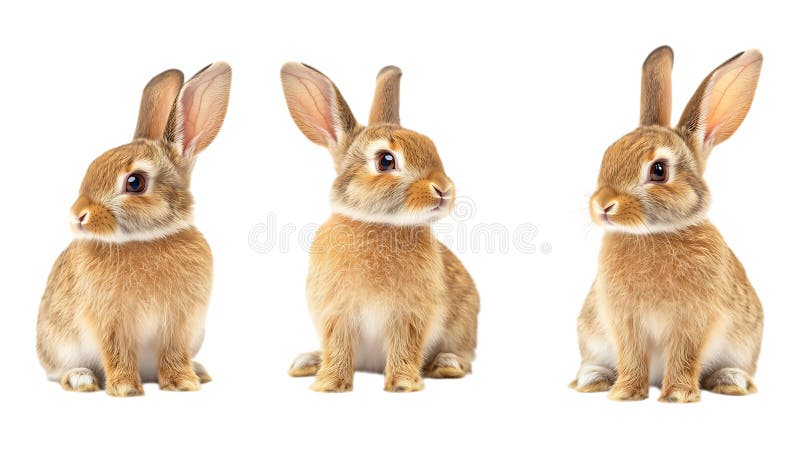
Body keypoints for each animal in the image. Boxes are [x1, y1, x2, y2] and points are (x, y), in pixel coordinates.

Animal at [36, 62, 232, 396]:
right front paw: (126, 388)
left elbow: (173, 352)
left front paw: (182, 383)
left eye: (135, 182)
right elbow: (118, 353)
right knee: (60, 371)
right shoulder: (112, 322)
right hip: (59, 343)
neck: (146, 239)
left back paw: (199, 371)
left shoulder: (179, 322)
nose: (78, 216)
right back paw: (81, 379)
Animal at [280, 63, 479, 392]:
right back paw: (307, 362)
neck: (378, 223)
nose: (443, 190)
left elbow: (404, 346)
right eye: (386, 160)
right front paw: (330, 384)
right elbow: (338, 346)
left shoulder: (408, 314)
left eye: (431, 145)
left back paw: (447, 364)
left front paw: (401, 384)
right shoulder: (337, 313)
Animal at [570, 46, 764, 403]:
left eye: (658, 170)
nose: (602, 205)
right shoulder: (624, 320)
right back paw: (592, 379)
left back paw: (731, 381)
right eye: (607, 154)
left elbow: (684, 355)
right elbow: (631, 354)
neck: (654, 234)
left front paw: (677, 395)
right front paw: (626, 393)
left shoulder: (692, 320)